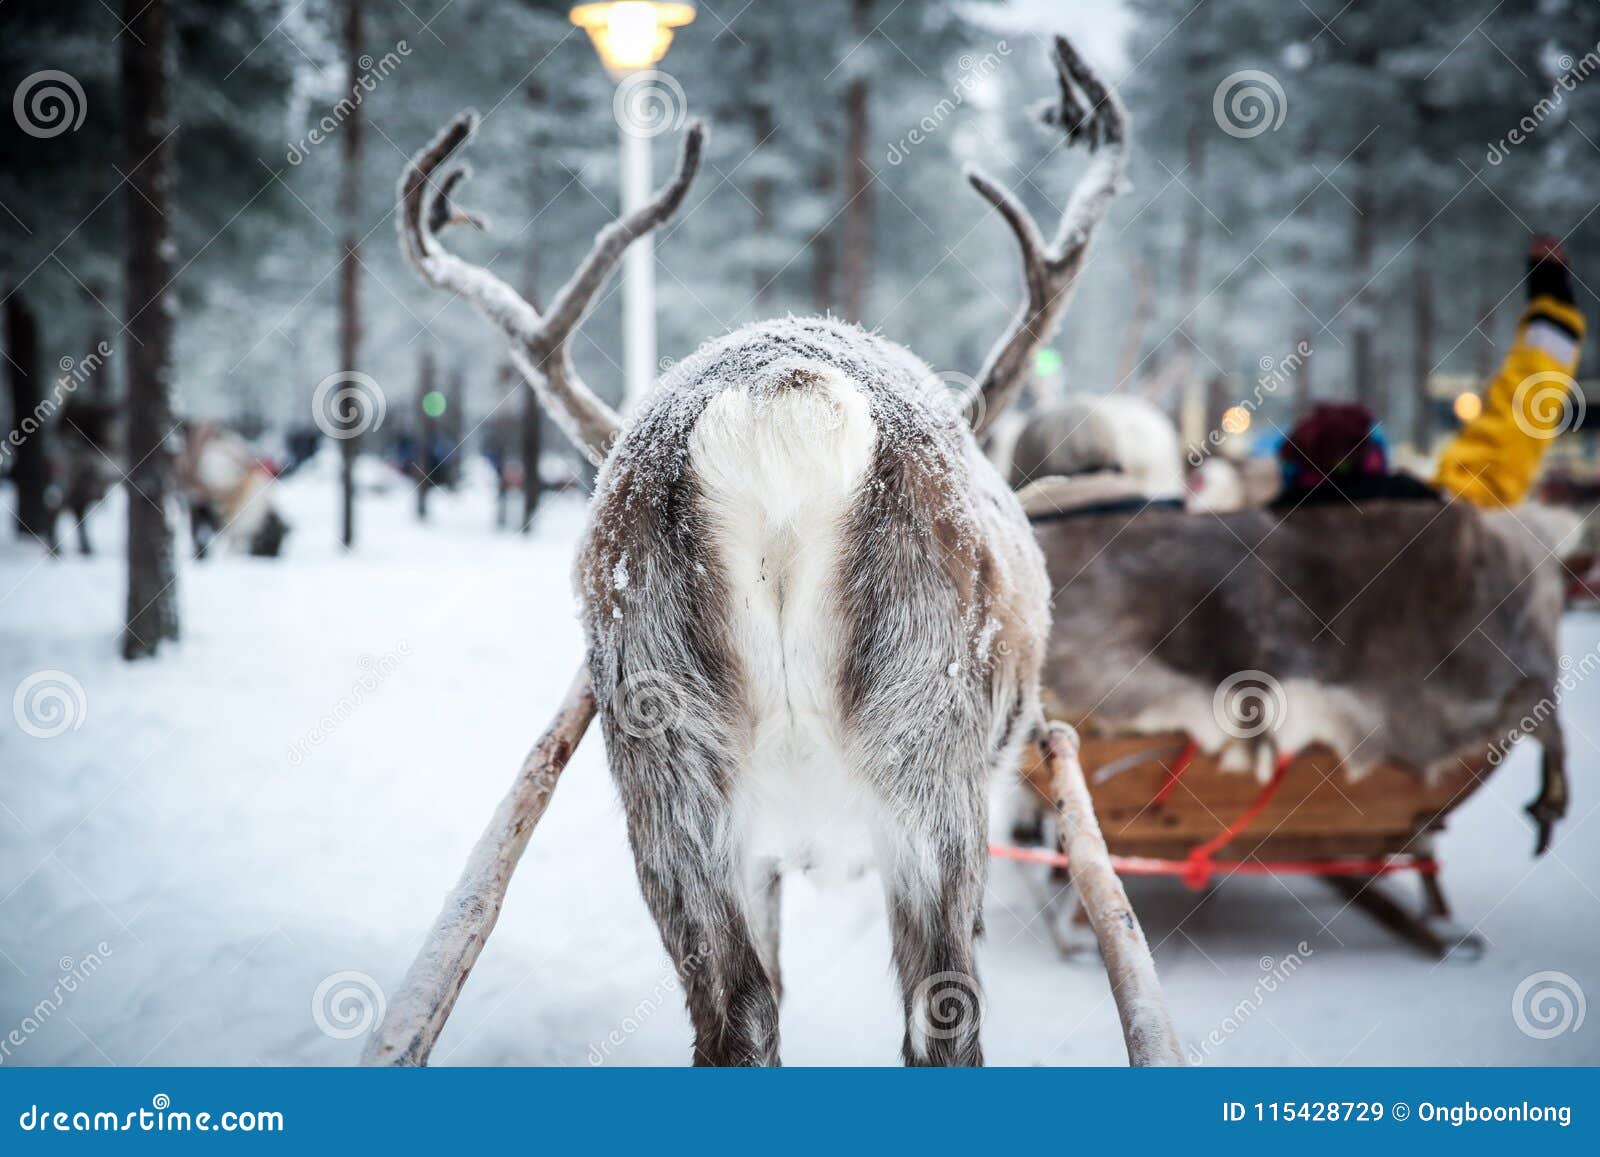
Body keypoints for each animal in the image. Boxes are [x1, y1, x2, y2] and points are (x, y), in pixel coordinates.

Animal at [397, 35, 1128, 1066]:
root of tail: (781, 404)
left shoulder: (756, 850)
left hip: (665, 757)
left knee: (736, 1010)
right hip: (928, 755)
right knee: (941, 1015)